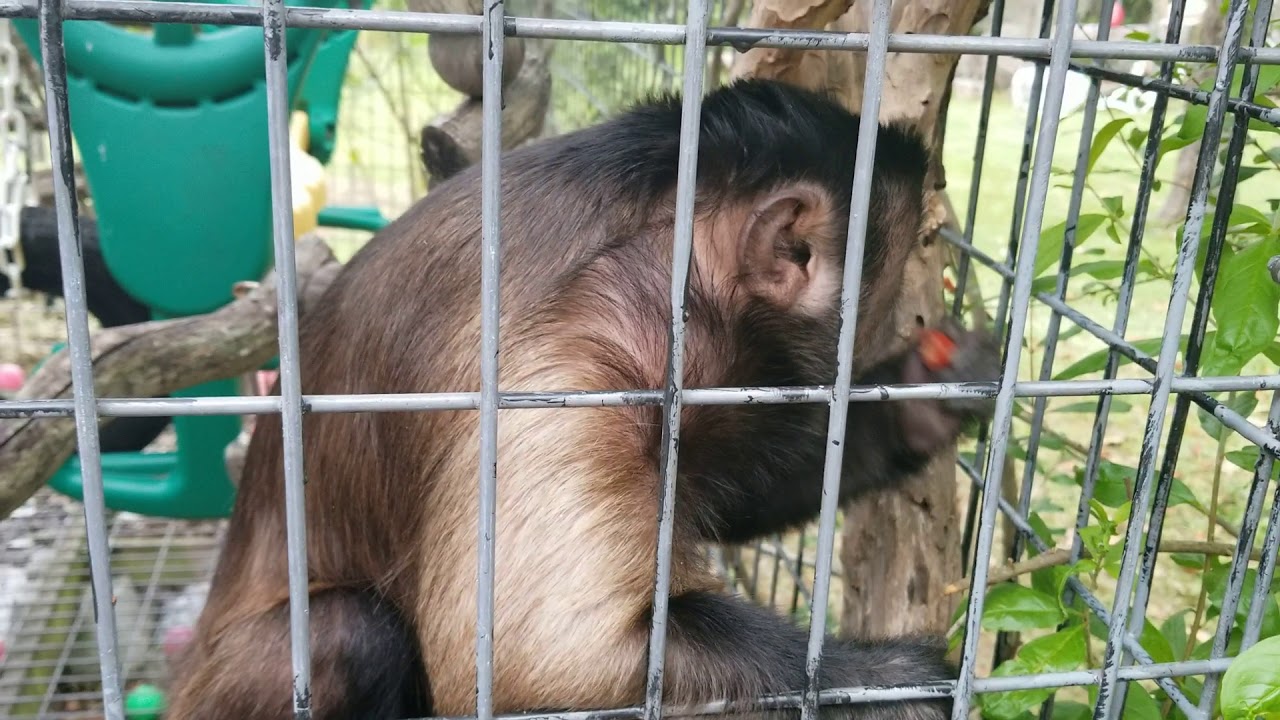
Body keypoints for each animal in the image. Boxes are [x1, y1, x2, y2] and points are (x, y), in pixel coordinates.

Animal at [164, 77, 1001, 720]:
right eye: (886, 290)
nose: (903, 319)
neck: (660, 274)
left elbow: (731, 501)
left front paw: (921, 402)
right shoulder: (570, 370)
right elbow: (537, 659)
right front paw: (895, 687)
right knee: (353, 634)